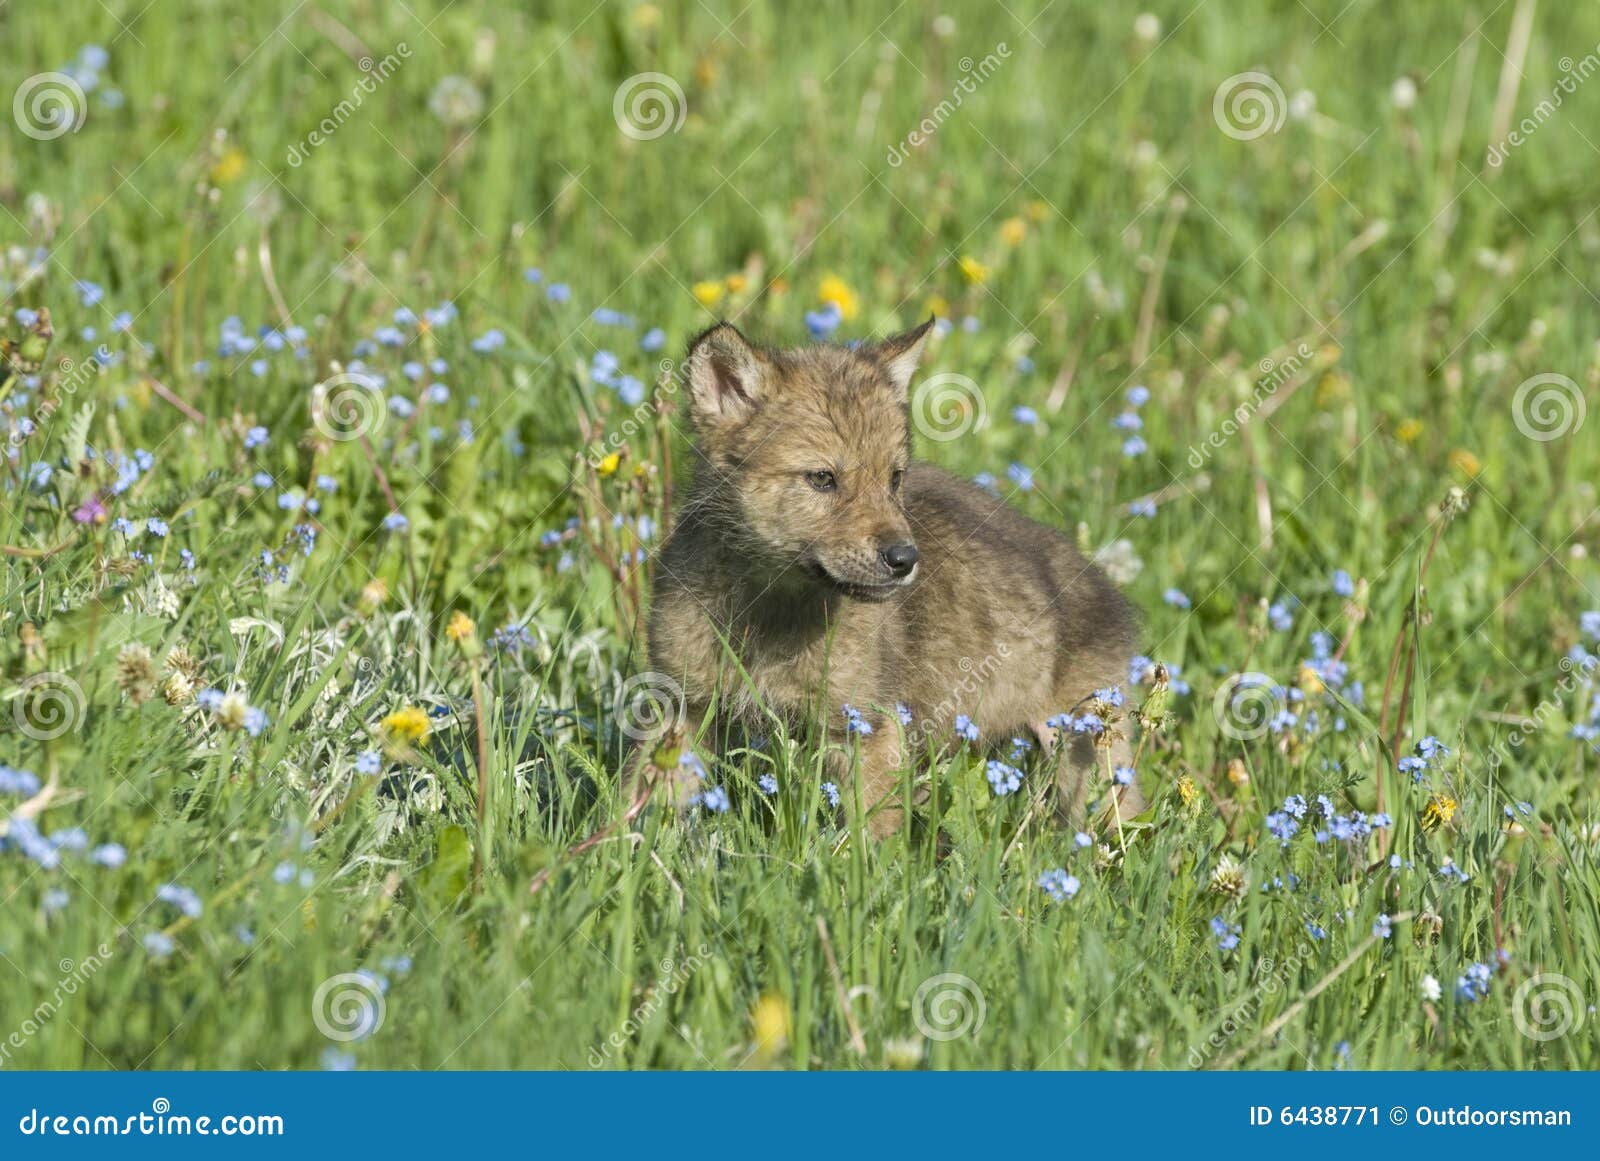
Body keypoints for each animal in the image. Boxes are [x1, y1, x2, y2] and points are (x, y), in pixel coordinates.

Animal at [644, 319, 1144, 836]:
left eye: (894, 478)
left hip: (1085, 753)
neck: (767, 609)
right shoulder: (681, 705)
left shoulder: (866, 728)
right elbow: (646, 808)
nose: (905, 558)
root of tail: (1107, 587)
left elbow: (872, 839)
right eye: (822, 478)